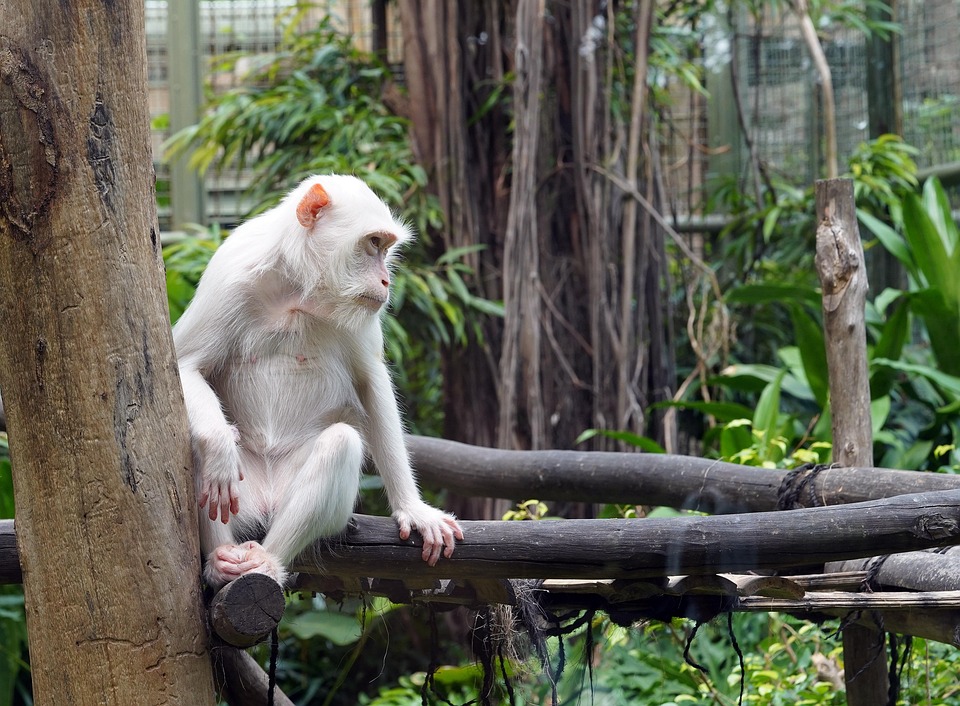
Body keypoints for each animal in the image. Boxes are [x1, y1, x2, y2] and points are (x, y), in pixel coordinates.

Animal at [172, 174, 464, 589]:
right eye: (373, 243)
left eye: (385, 246)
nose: (386, 280)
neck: (299, 290)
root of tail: (267, 501)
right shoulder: (230, 276)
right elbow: (187, 365)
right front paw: (218, 450)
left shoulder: (362, 313)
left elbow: (371, 384)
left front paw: (413, 508)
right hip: (243, 493)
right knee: (199, 447)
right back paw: (220, 558)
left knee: (340, 443)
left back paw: (268, 561)